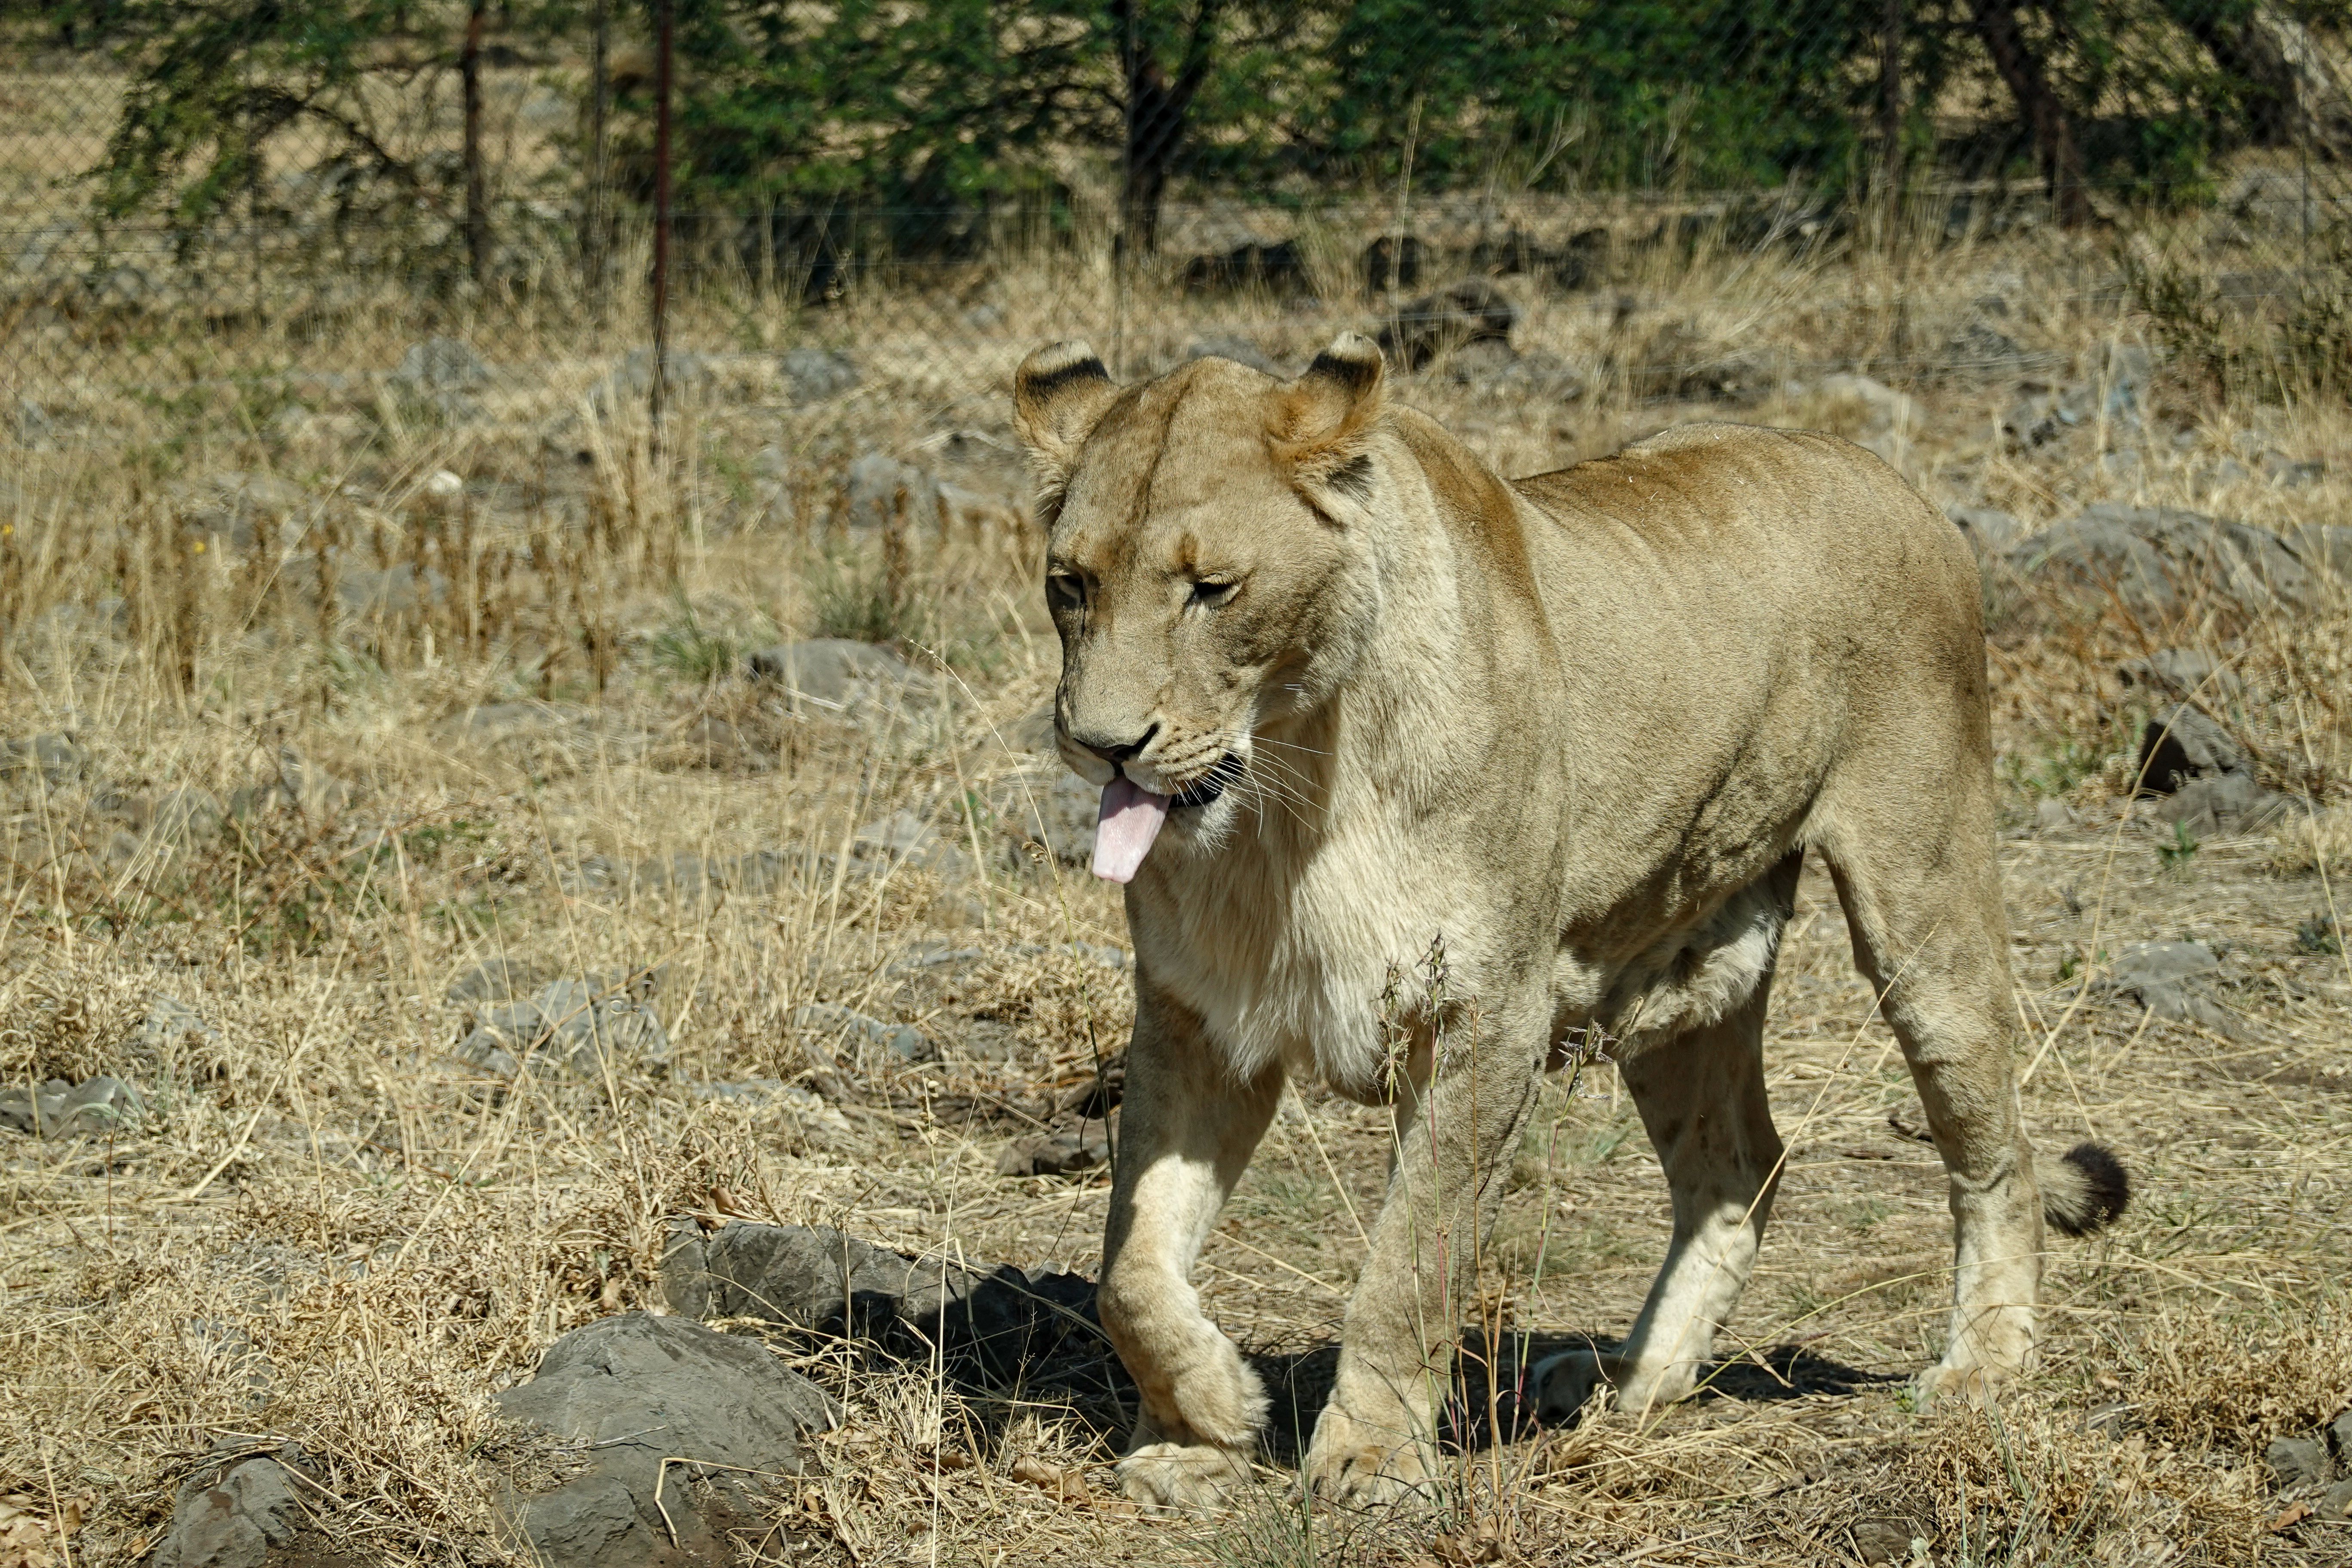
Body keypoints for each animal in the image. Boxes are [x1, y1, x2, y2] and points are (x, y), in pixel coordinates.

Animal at [1010, 333, 2130, 1511]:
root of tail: (1888, 476)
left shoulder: (1488, 1016)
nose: (1102, 745)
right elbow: (1128, 1264)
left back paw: (1982, 1369)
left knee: (1996, 1152)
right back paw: (1629, 1383)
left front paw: (1370, 1459)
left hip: (1924, 899)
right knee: (1739, 1166)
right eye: (1070, 585)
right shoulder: (1193, 1019)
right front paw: (1203, 1428)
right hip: (1684, 968)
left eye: (1211, 590)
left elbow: (1411, 1262)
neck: (1288, 791)